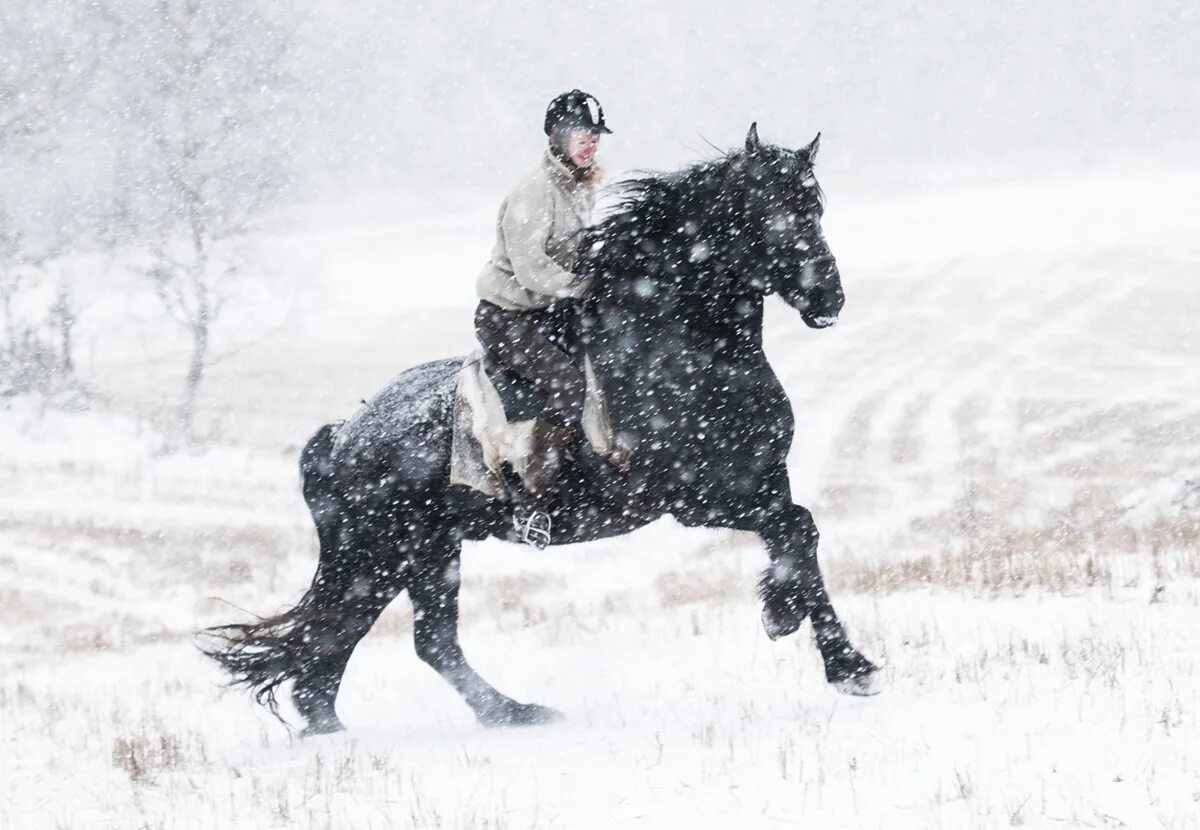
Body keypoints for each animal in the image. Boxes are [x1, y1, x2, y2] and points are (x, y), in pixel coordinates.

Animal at [199, 121, 883, 734]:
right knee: (358, 637)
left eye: (814, 207)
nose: (829, 300)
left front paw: (817, 639)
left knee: (389, 641)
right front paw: (829, 652)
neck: (680, 348)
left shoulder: (764, 477)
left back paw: (475, 716)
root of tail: (343, 435)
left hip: (424, 554)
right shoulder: (699, 498)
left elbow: (801, 532)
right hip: (387, 553)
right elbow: (795, 528)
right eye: (764, 212)